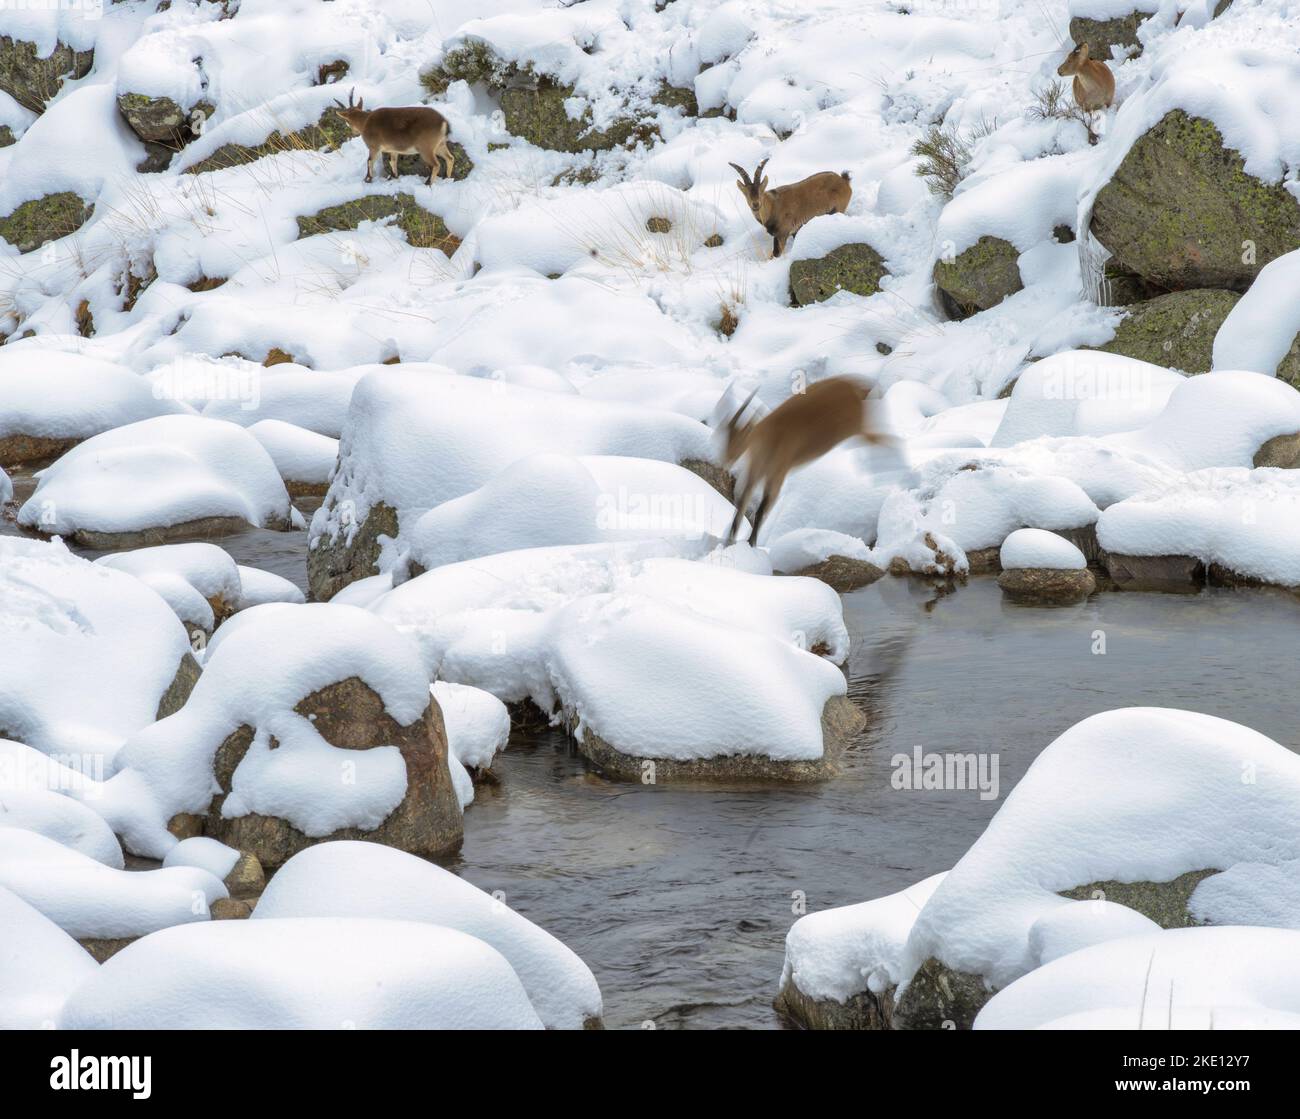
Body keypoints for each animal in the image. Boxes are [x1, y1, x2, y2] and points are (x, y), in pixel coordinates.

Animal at [719, 376, 899, 546]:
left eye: (742, 436)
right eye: (725, 435)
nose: (726, 459)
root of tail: (858, 385)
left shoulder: (777, 476)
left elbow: (761, 510)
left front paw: (751, 543)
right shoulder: (755, 474)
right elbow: (743, 501)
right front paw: (731, 538)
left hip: (860, 429)